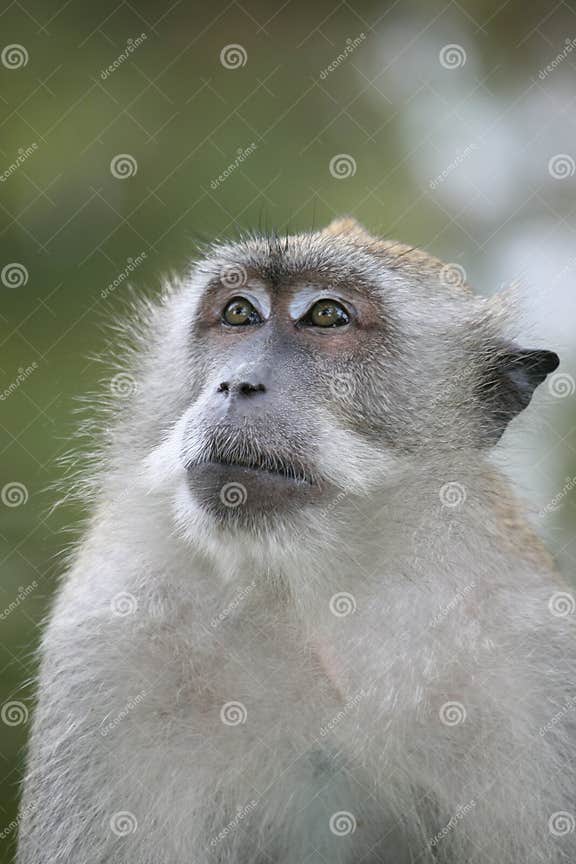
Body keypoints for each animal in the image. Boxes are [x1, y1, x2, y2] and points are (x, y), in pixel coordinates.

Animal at [16, 217, 576, 864]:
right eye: (239, 312)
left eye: (327, 316)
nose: (236, 383)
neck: (309, 586)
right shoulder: (109, 637)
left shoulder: (532, 659)